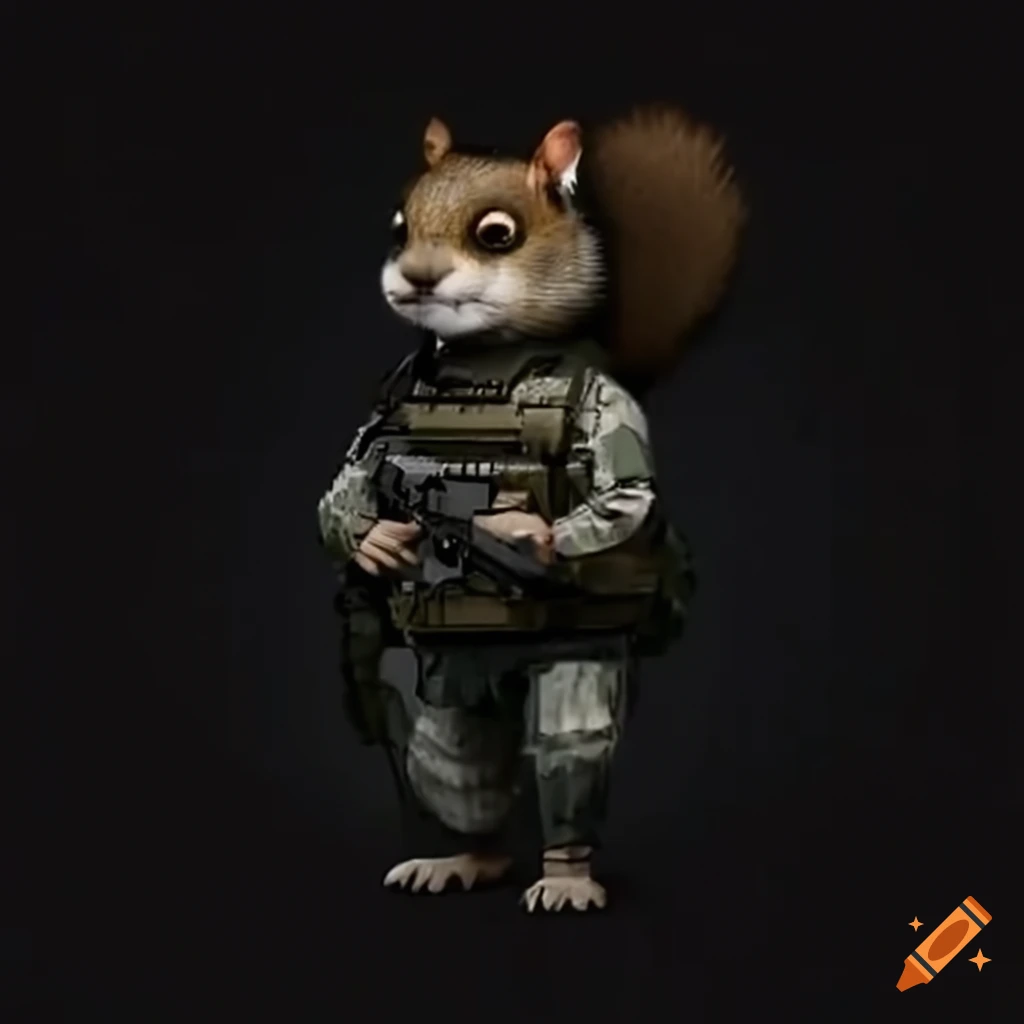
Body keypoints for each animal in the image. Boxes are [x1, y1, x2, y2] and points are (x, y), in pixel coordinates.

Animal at [320, 105, 744, 912]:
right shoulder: (378, 420)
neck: (486, 360)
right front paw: (380, 541)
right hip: (455, 682)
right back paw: (466, 860)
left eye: (497, 234)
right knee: (461, 748)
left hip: (573, 668)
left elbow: (625, 496)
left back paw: (565, 877)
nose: (417, 277)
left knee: (566, 745)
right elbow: (341, 489)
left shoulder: (610, 413)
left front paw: (520, 529)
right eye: (398, 225)